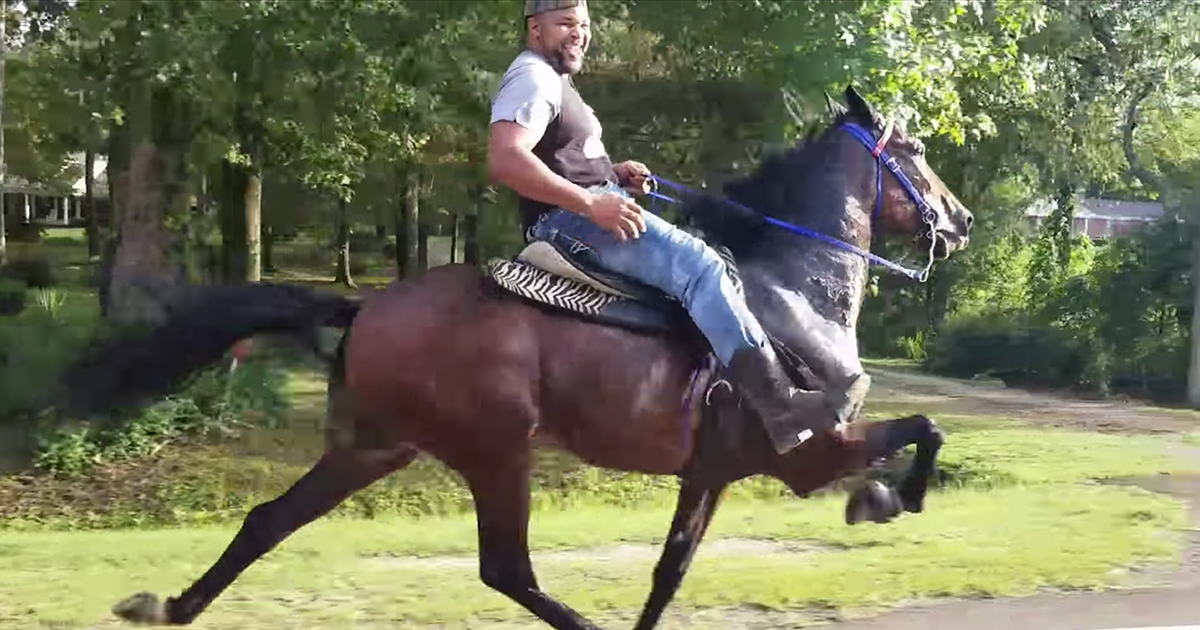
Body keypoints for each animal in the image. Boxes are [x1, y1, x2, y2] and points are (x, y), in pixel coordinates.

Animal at [60, 85, 973, 629]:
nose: (959, 220)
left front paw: (883, 497)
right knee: (507, 568)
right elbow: (923, 428)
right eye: (917, 152)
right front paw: (886, 499)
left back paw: (170, 605)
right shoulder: (804, 452)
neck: (794, 289)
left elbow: (669, 573)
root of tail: (366, 307)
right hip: (497, 450)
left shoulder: (712, 472)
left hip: (374, 448)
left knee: (265, 522)